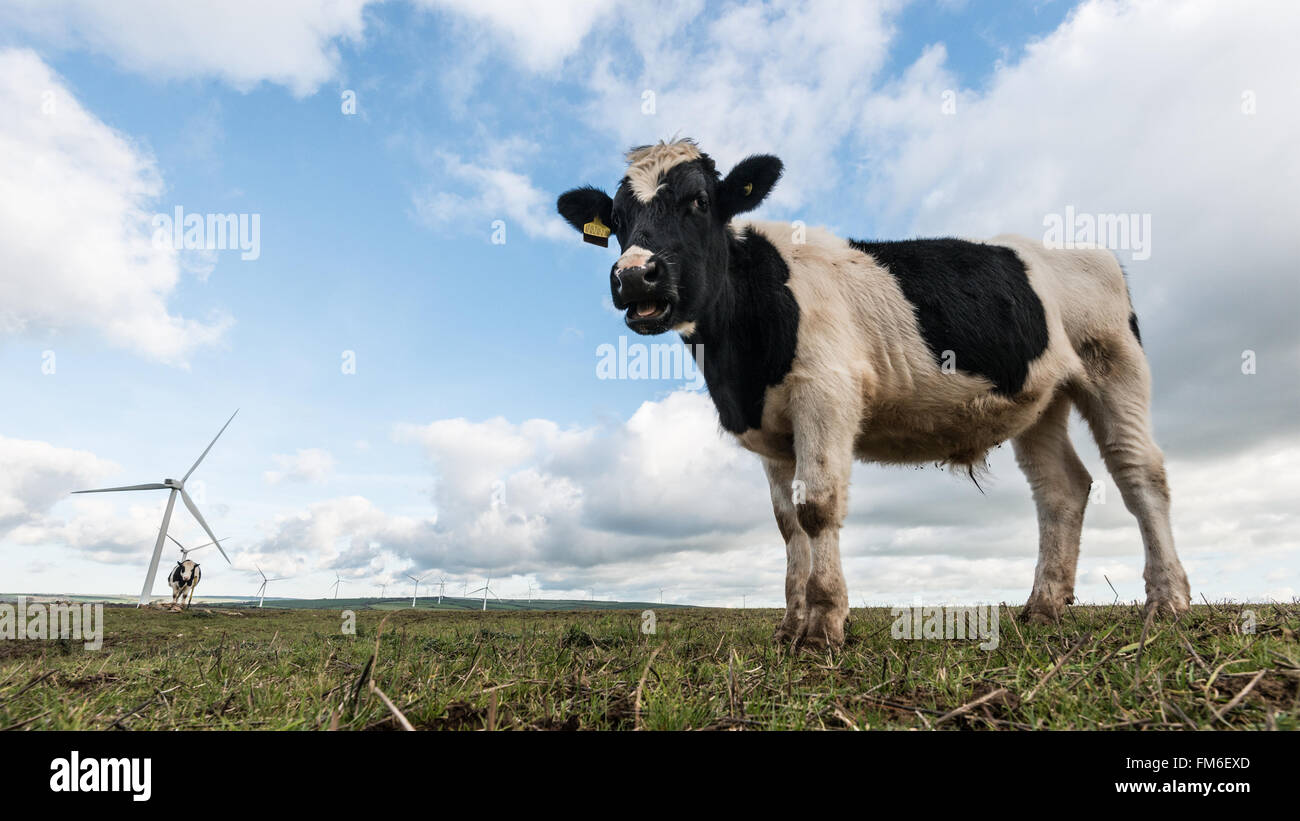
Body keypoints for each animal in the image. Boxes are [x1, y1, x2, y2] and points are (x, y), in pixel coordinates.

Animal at [557, 138, 1190, 649]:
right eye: (617, 219)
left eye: (699, 202)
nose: (634, 275)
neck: (740, 362)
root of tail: (1087, 251)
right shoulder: (770, 432)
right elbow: (787, 523)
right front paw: (790, 627)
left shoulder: (826, 395)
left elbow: (817, 508)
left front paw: (823, 627)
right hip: (1041, 401)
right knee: (1061, 489)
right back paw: (1042, 608)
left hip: (1113, 365)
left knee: (1139, 472)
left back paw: (1168, 603)